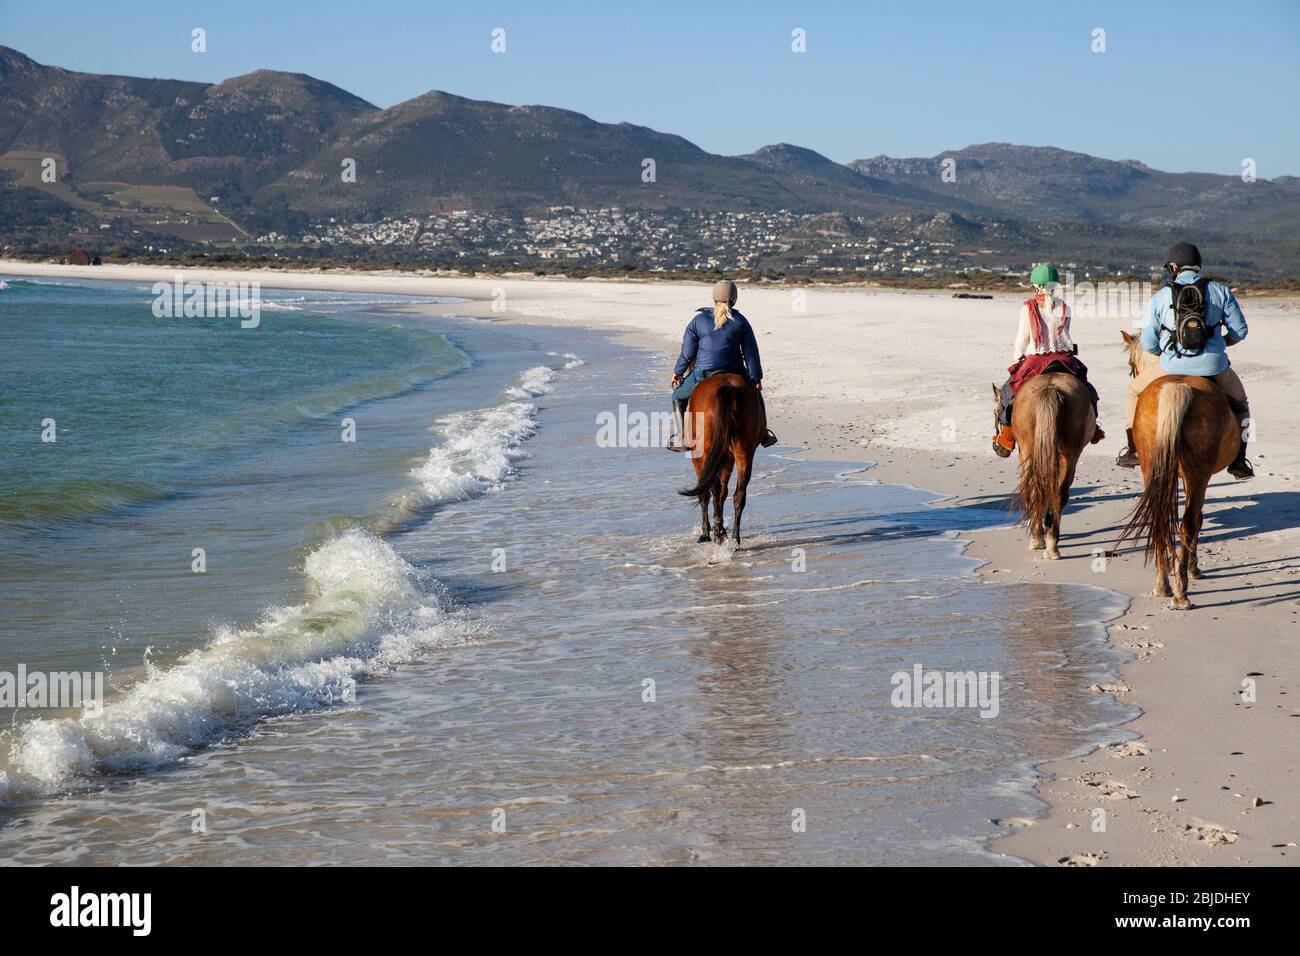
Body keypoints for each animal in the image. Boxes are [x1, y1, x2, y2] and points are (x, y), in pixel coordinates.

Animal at [678, 373, 764, 545]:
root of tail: (728, 387)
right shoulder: (727, 458)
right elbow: (724, 492)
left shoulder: (698, 459)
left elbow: (705, 492)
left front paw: (706, 533)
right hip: (743, 453)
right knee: (739, 494)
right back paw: (734, 540)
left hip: (705, 453)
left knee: (714, 489)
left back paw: (719, 534)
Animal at [990, 372, 1095, 559]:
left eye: (996, 413)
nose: (998, 448)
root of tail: (1051, 388)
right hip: (1068, 455)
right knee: (1058, 493)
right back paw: (1052, 544)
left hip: (1028, 451)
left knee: (1032, 491)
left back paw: (1038, 538)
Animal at [1117, 330, 1239, 609]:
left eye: (1130, 365)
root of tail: (1178, 387)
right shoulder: (1199, 478)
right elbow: (1198, 519)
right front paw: (1193, 569)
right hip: (1197, 475)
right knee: (1189, 523)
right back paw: (1181, 592)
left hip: (1153, 468)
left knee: (1160, 519)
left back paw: (1162, 584)